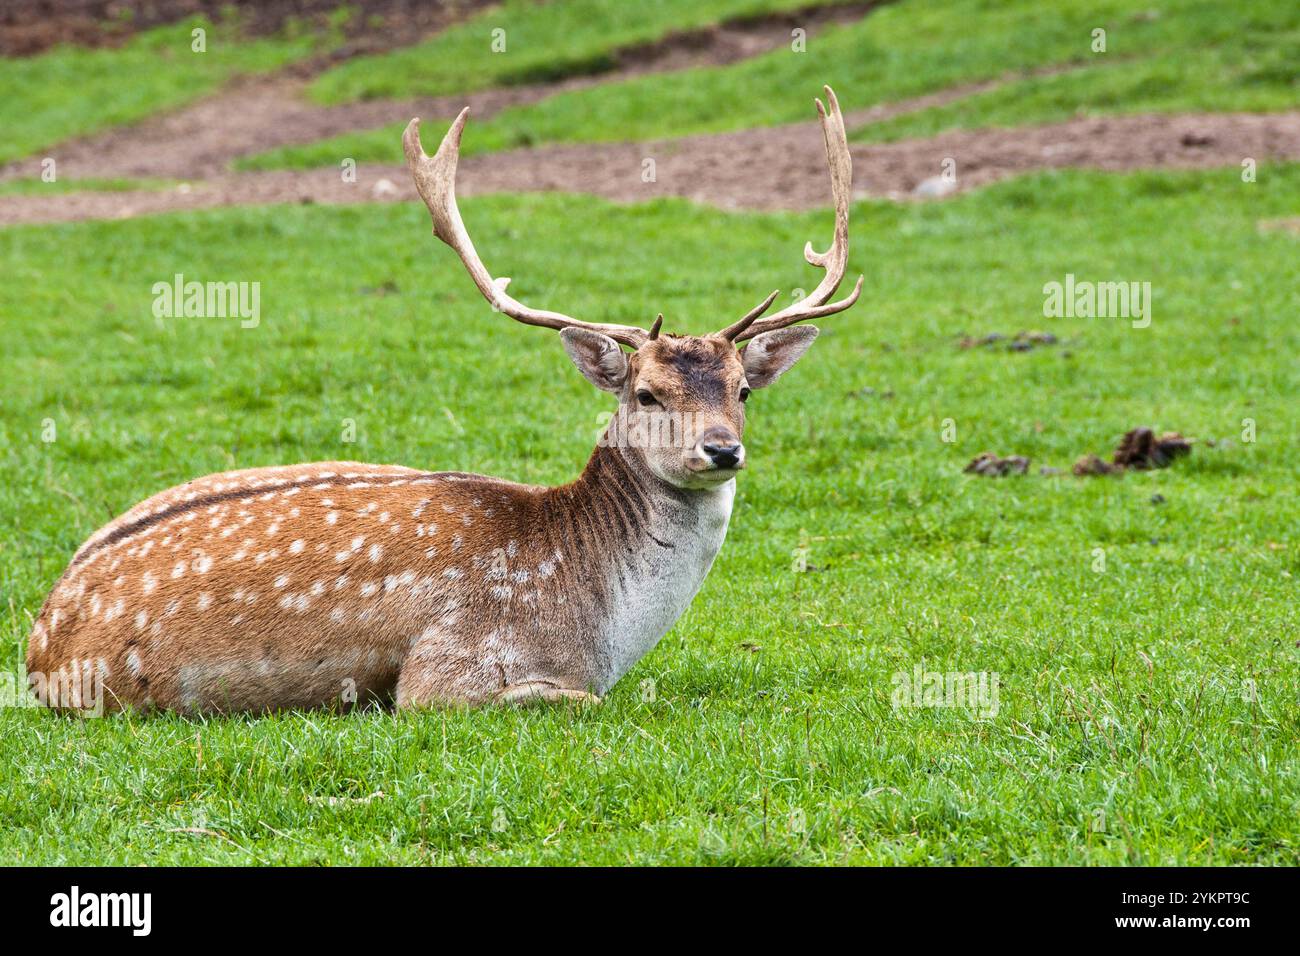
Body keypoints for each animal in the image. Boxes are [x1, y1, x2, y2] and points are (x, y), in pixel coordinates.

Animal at [25, 87, 861, 714]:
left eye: (744, 388)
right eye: (649, 393)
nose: (722, 448)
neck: (600, 635)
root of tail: (35, 643)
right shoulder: (447, 670)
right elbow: (576, 700)